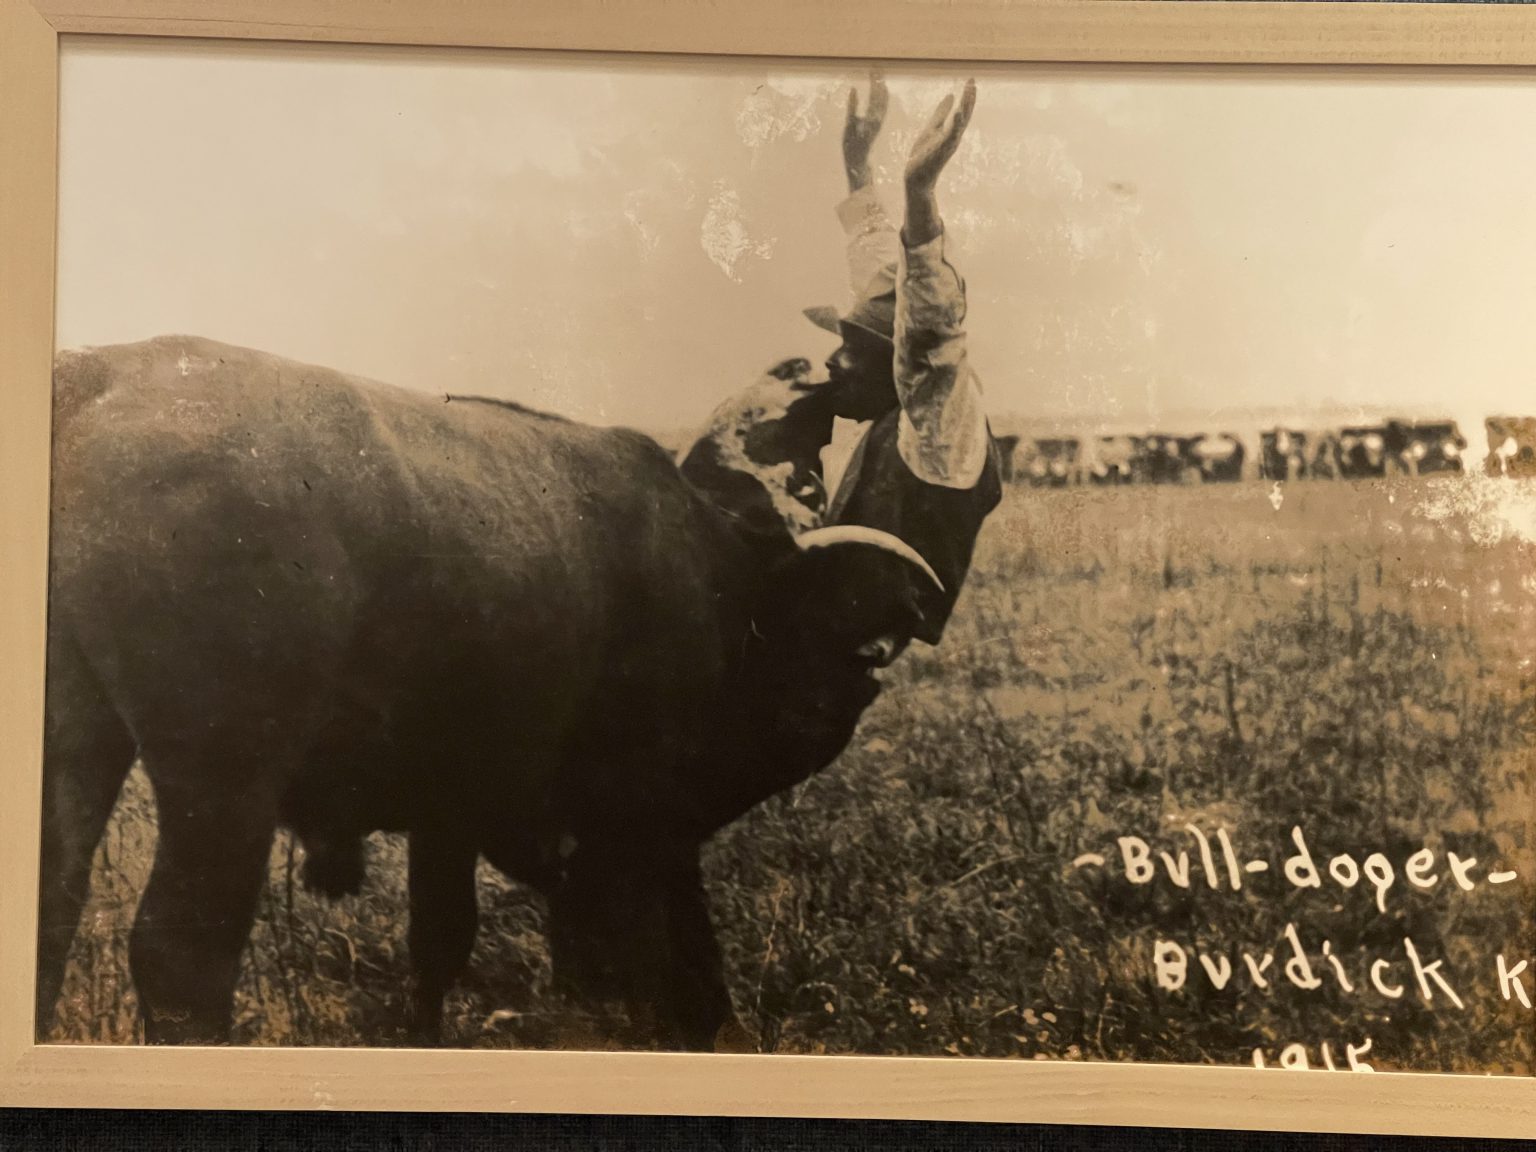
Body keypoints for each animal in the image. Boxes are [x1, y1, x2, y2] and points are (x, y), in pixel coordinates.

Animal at [38, 335, 947, 1050]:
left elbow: (441, 941)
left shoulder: (453, 813)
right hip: (223, 781)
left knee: (53, 901)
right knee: (182, 953)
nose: (873, 663)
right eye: (831, 629)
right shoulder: (633, 815)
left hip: (78, 748)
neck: (725, 581)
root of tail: (102, 378)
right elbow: (643, 947)